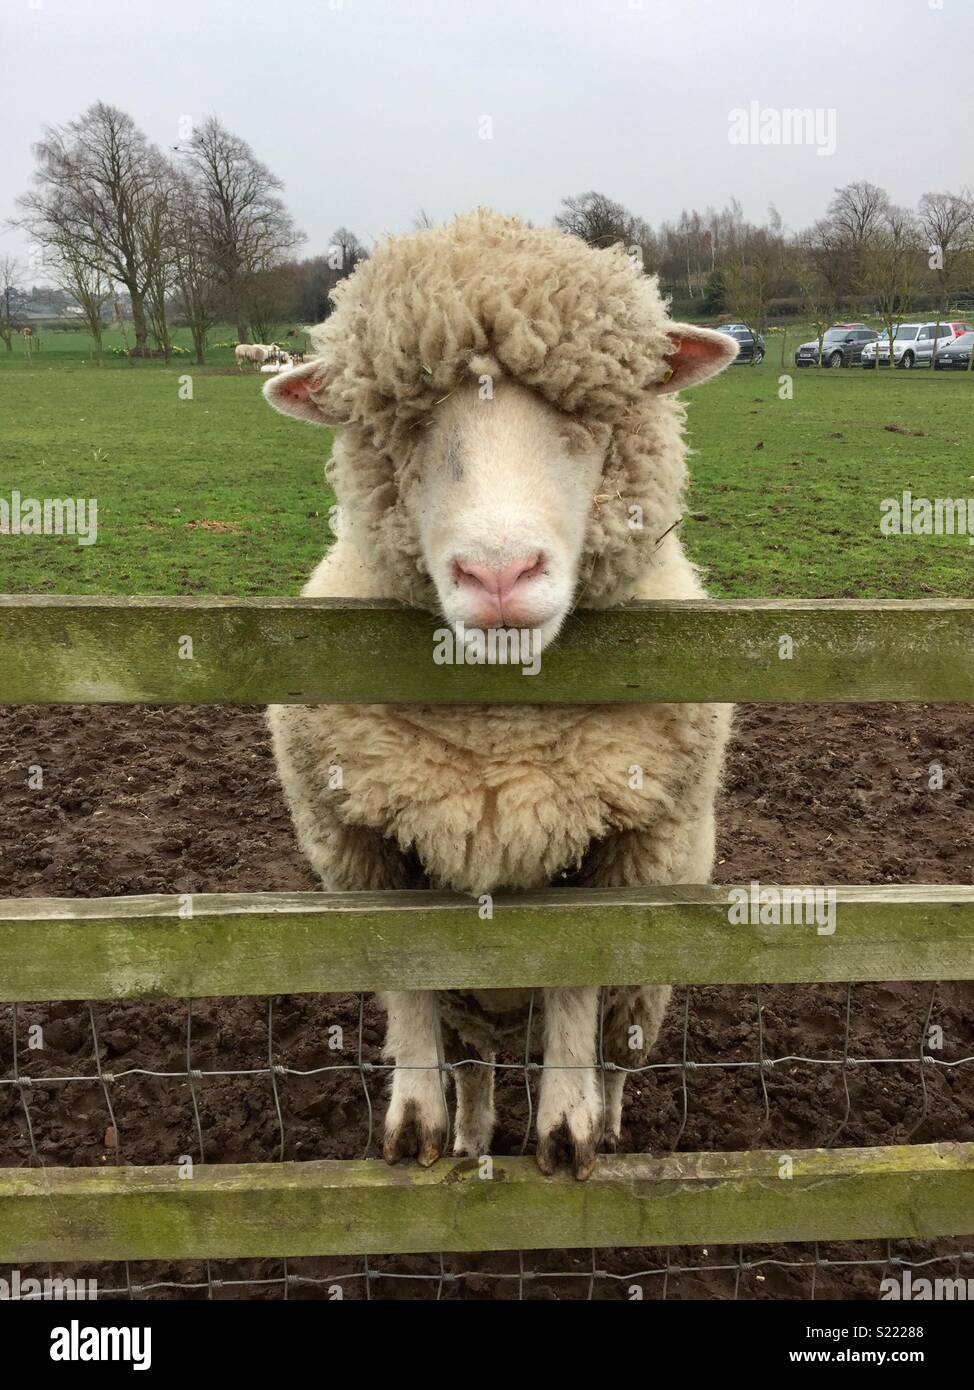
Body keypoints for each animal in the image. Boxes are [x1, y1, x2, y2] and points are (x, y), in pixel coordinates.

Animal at [262, 211, 738, 1179]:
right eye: (405, 422)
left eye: (586, 412)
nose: (498, 572)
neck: (497, 726)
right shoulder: (362, 854)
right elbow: (402, 981)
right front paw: (414, 1120)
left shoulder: (622, 856)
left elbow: (575, 986)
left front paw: (568, 1126)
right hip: (474, 991)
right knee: (476, 1060)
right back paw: (471, 1132)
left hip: (652, 966)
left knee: (618, 1047)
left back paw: (610, 1119)